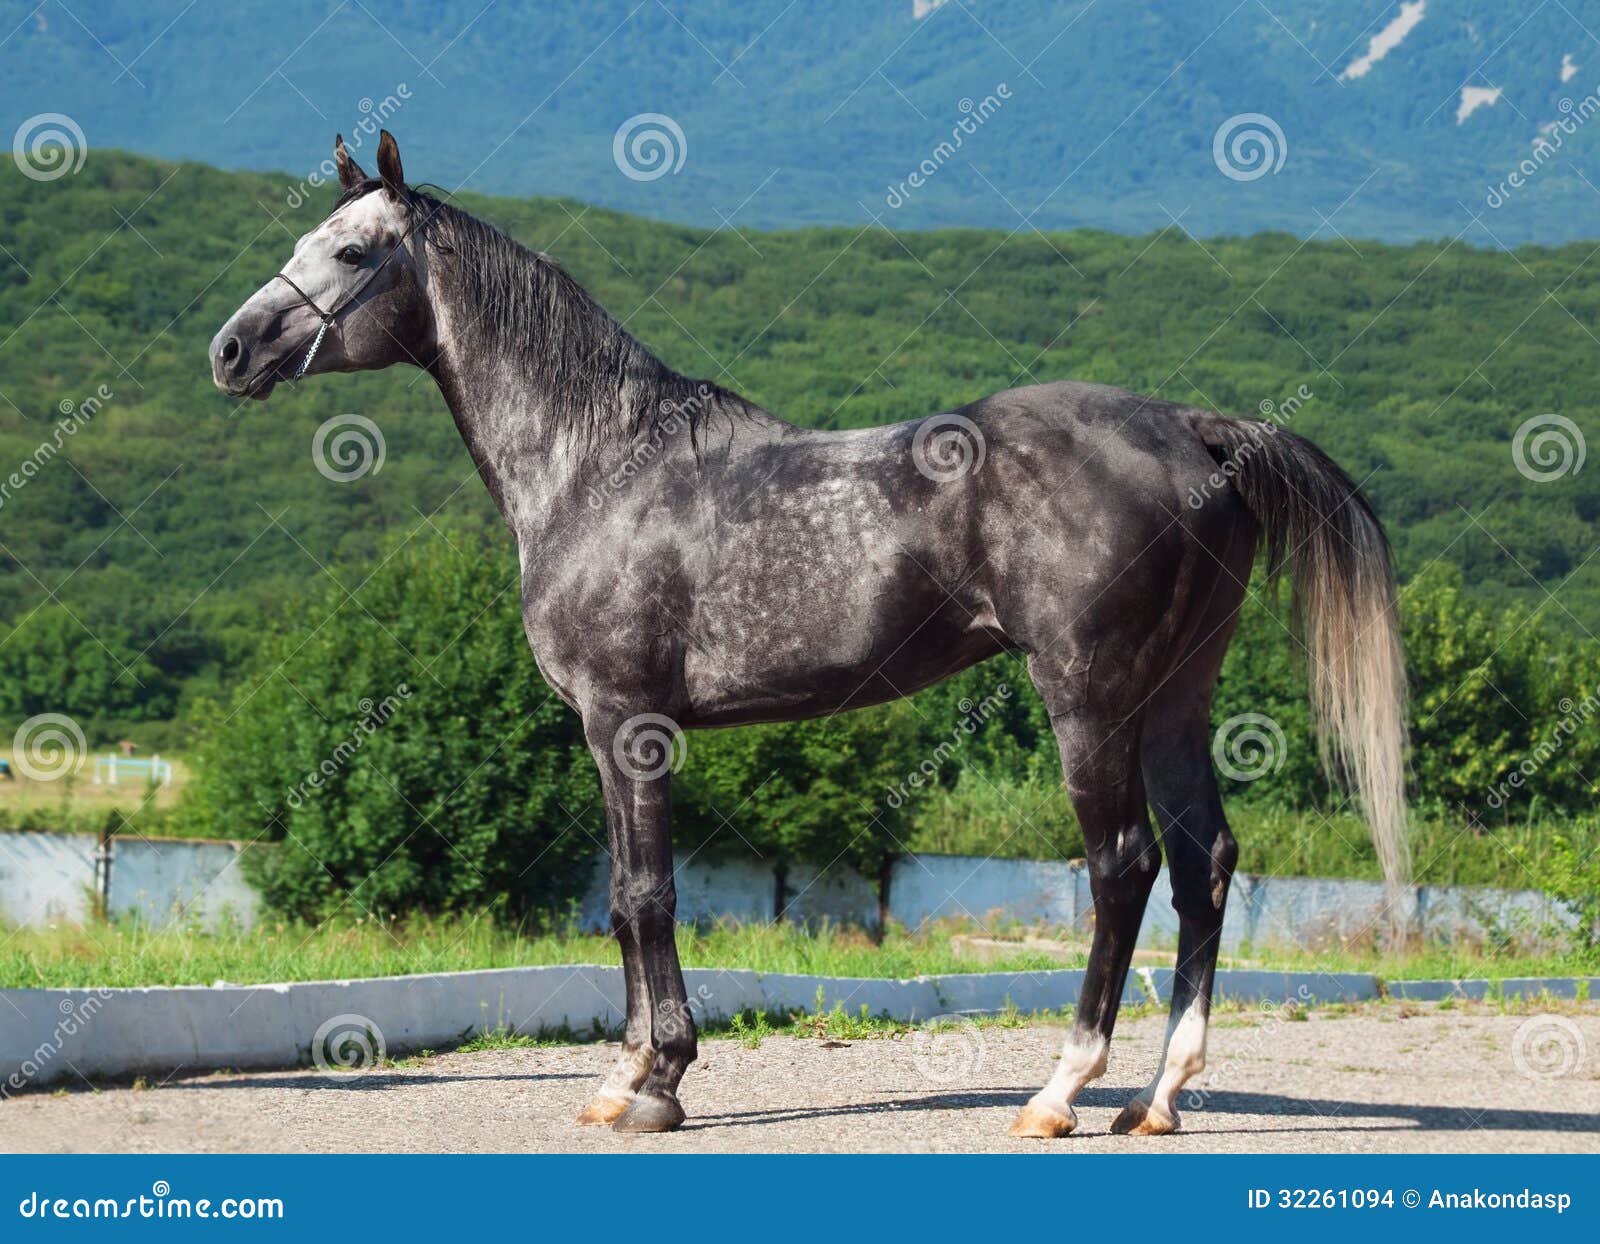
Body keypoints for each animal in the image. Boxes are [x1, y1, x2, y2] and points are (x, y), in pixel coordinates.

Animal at [211, 132, 1408, 1137]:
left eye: (352, 251)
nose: (231, 349)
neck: (601, 463)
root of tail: (1193, 432)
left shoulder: (628, 721)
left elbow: (646, 894)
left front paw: (659, 1083)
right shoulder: (610, 733)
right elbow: (623, 898)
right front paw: (623, 1077)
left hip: (1089, 698)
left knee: (1124, 866)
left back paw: (1059, 1092)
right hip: (1176, 697)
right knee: (1206, 860)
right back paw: (1154, 1101)